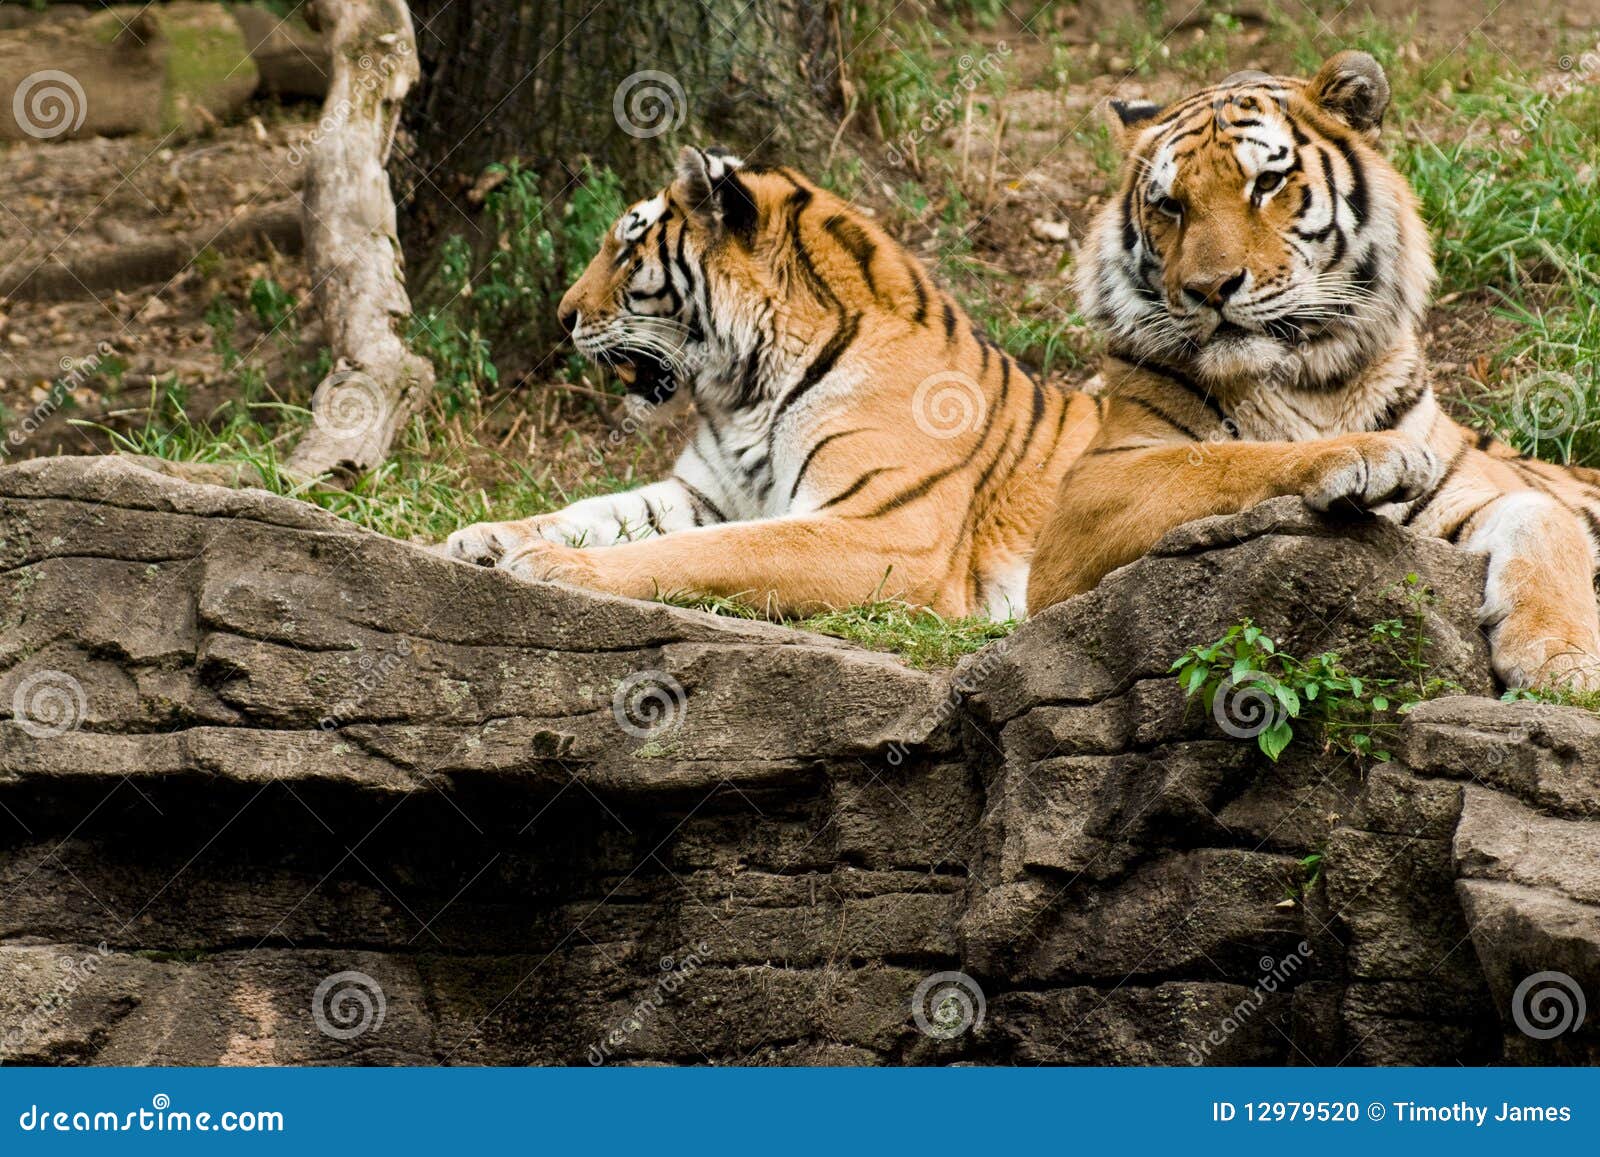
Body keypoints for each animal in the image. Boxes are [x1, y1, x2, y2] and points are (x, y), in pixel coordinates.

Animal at [445, 147, 1099, 619]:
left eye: (628, 255)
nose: (563, 316)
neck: (746, 390)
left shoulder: (891, 531)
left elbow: (710, 549)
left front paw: (553, 566)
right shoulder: (706, 494)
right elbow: (599, 512)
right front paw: (486, 539)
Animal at [1028, 51, 1600, 692]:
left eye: (1267, 183)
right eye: (1170, 205)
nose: (1210, 289)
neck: (1316, 378)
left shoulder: (1464, 488)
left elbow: (1546, 514)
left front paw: (1561, 659)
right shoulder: (1089, 492)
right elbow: (1226, 459)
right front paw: (1368, 453)